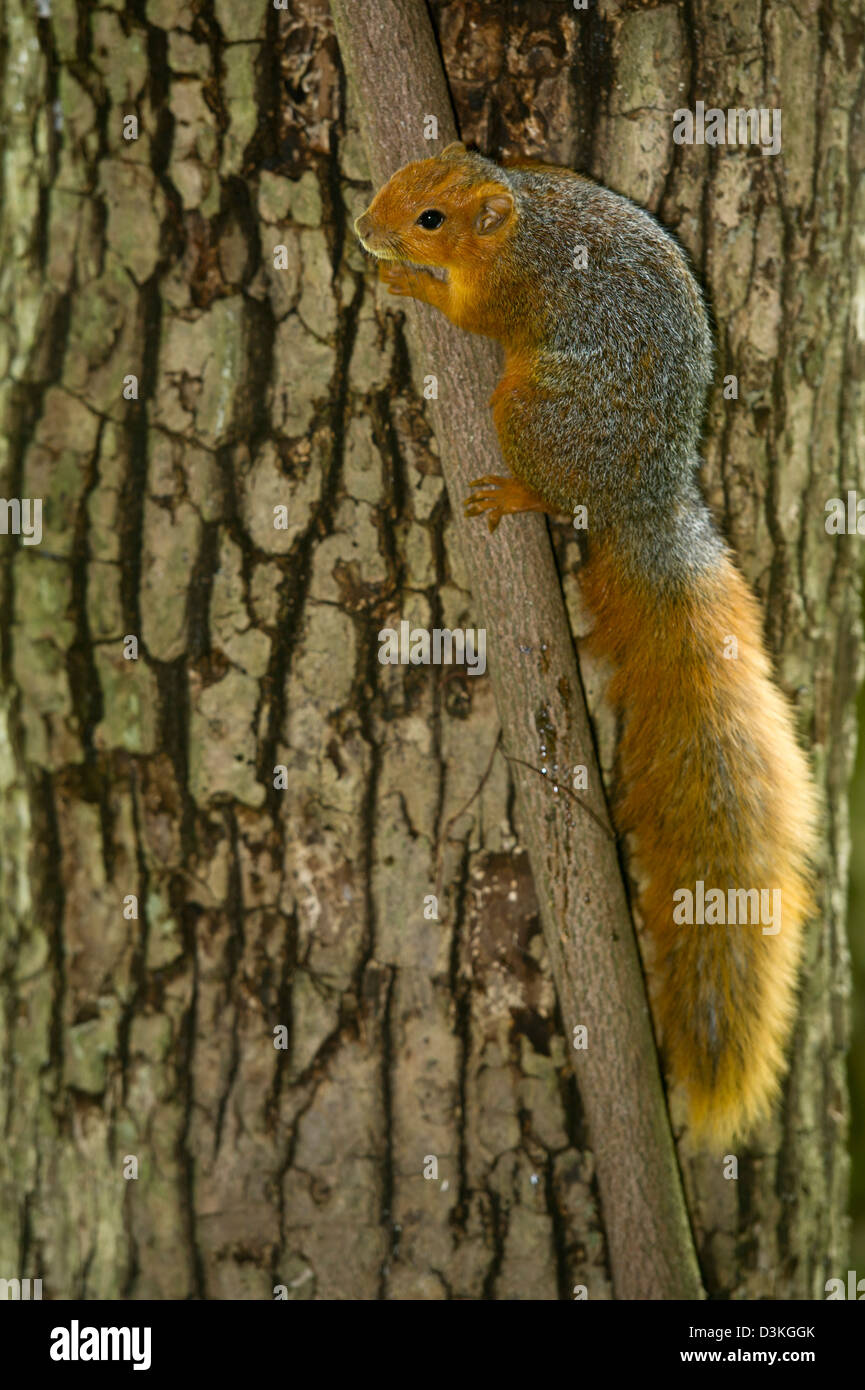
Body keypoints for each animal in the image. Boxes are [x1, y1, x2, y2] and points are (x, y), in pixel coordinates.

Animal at [354, 142, 818, 1145]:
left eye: (431, 220)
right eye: (408, 172)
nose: (367, 227)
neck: (523, 218)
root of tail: (645, 497)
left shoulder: (506, 296)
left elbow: (467, 314)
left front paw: (403, 281)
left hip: (526, 404)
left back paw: (517, 494)